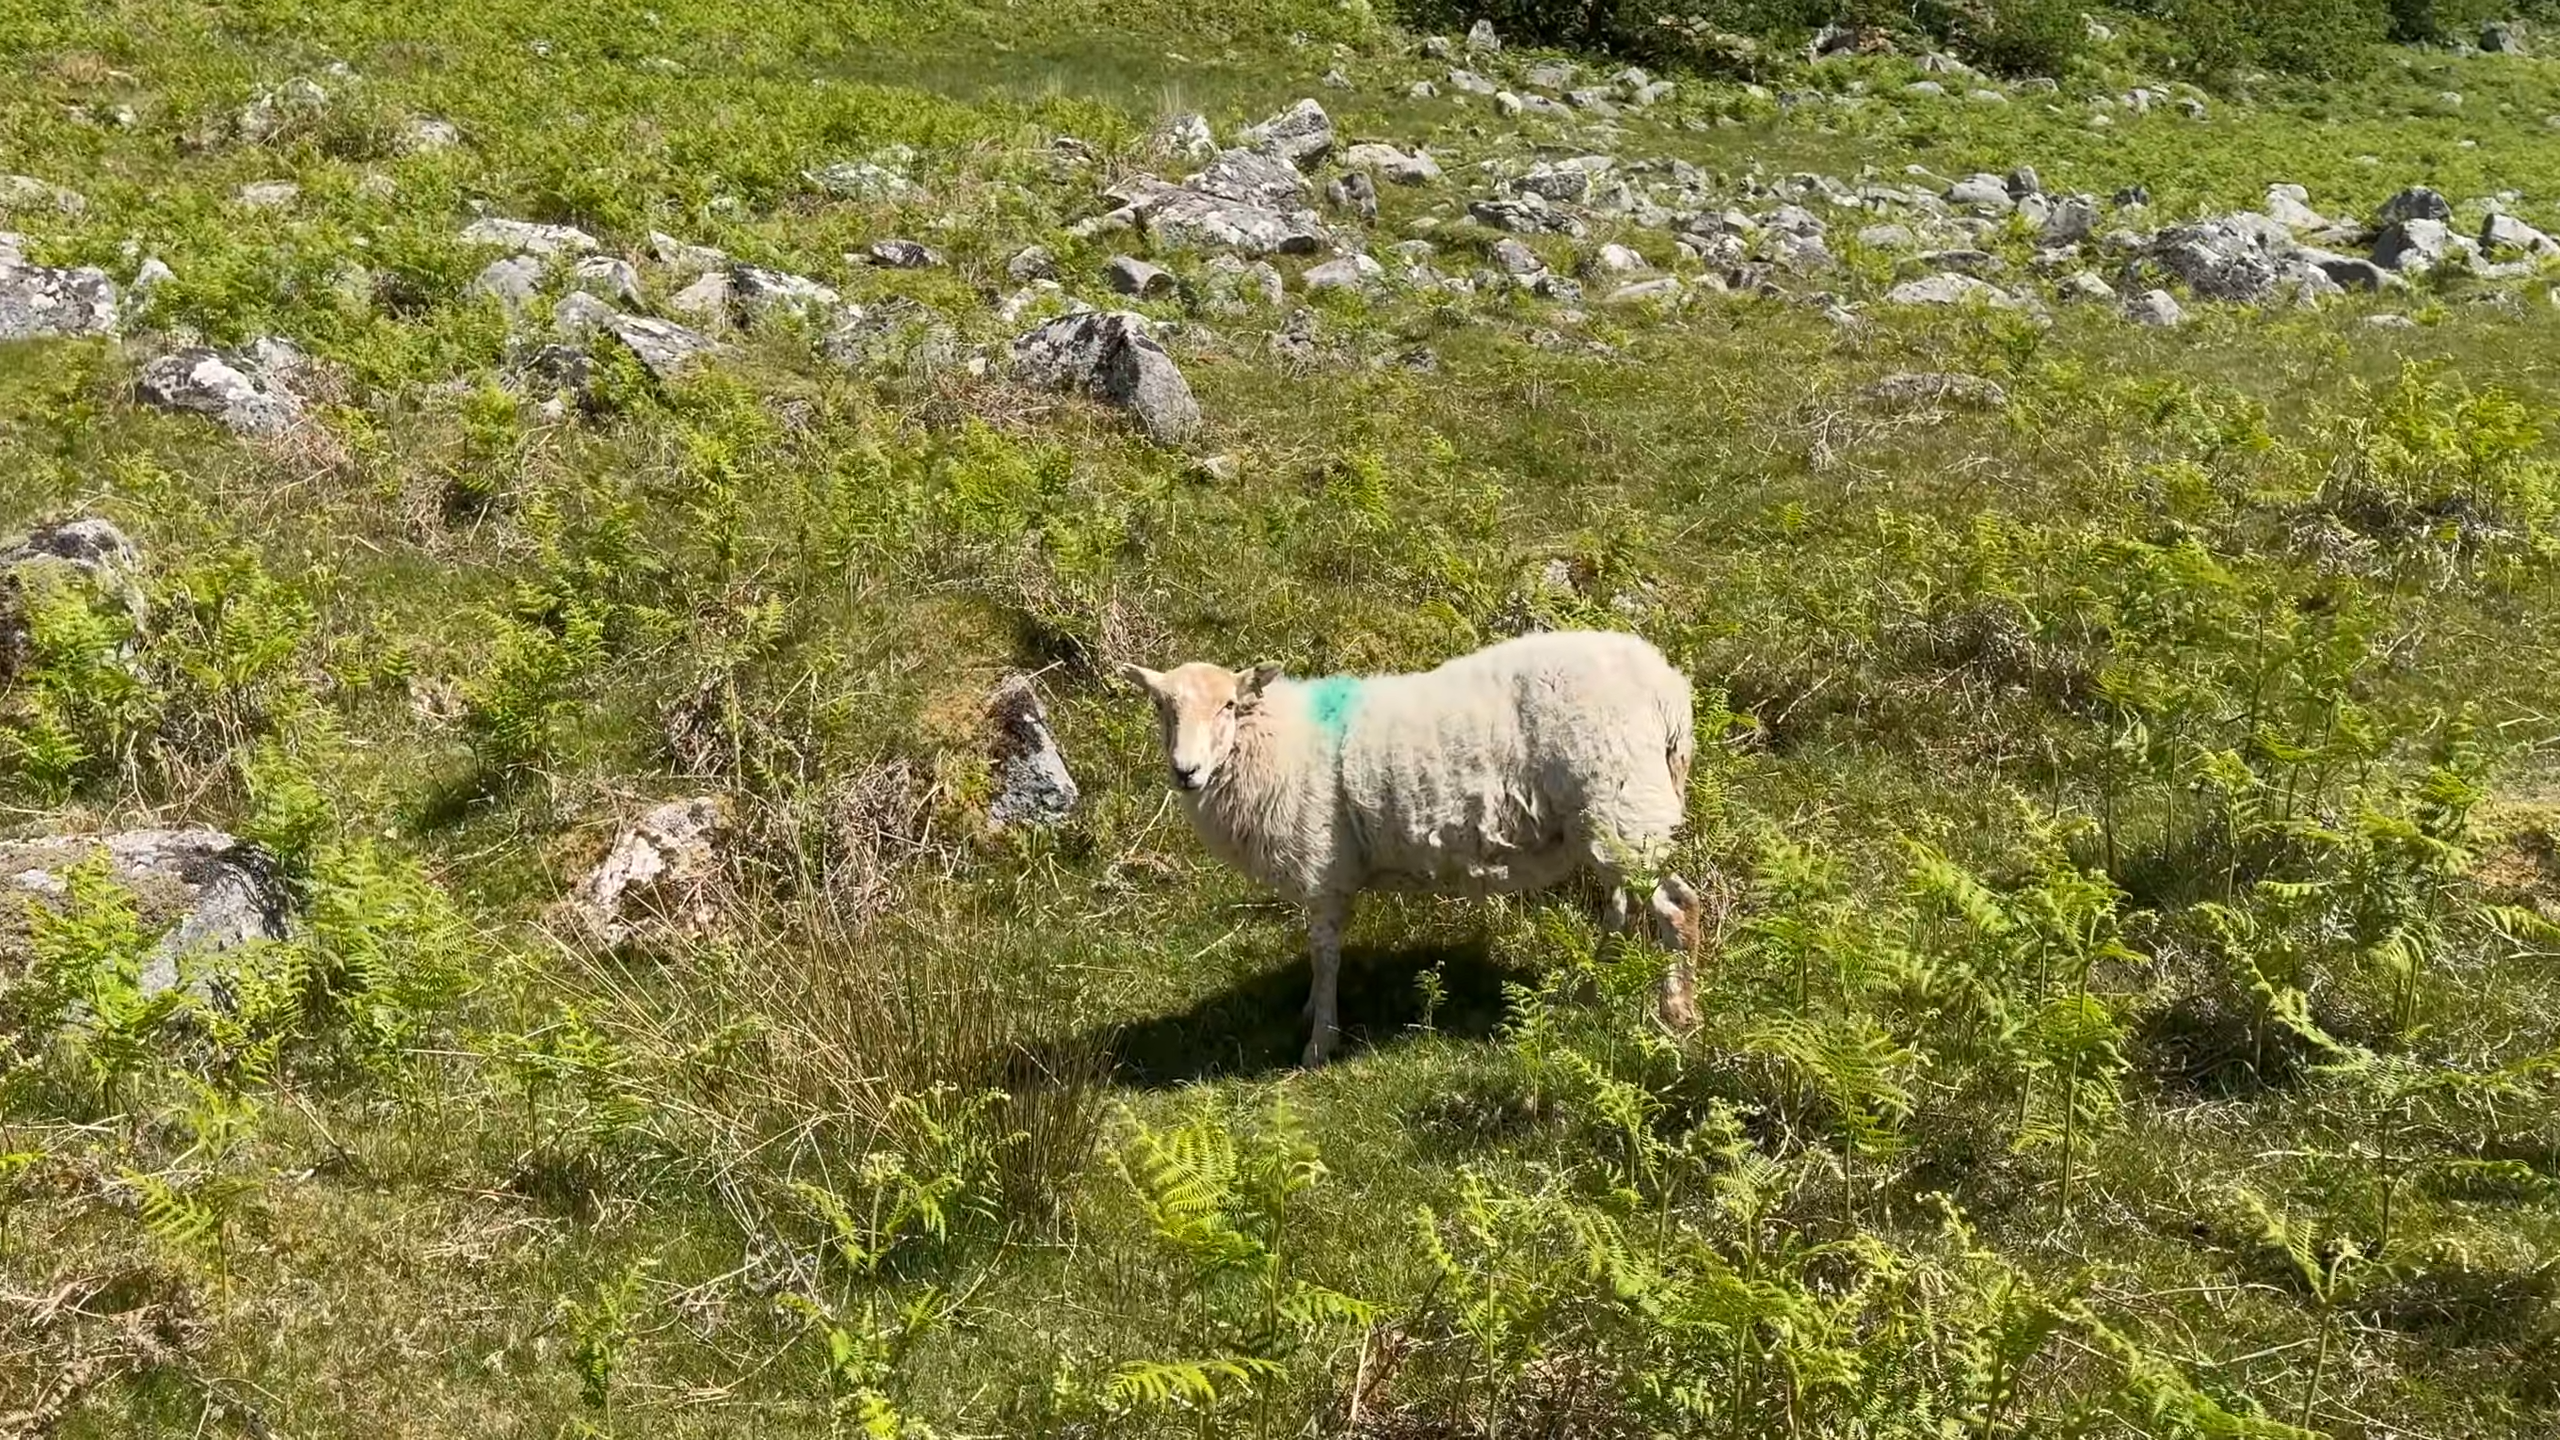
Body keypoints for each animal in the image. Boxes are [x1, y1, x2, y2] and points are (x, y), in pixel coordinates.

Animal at [1121, 629, 1702, 1065]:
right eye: (1160, 706)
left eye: (1227, 705)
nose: (1186, 771)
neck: (1279, 741)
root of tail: (1670, 691)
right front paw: (1310, 1013)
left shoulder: (1323, 867)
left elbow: (1324, 955)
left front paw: (1319, 1041)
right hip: (1607, 819)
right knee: (1620, 903)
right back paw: (1591, 985)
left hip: (1625, 803)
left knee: (1678, 907)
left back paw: (1676, 1010)